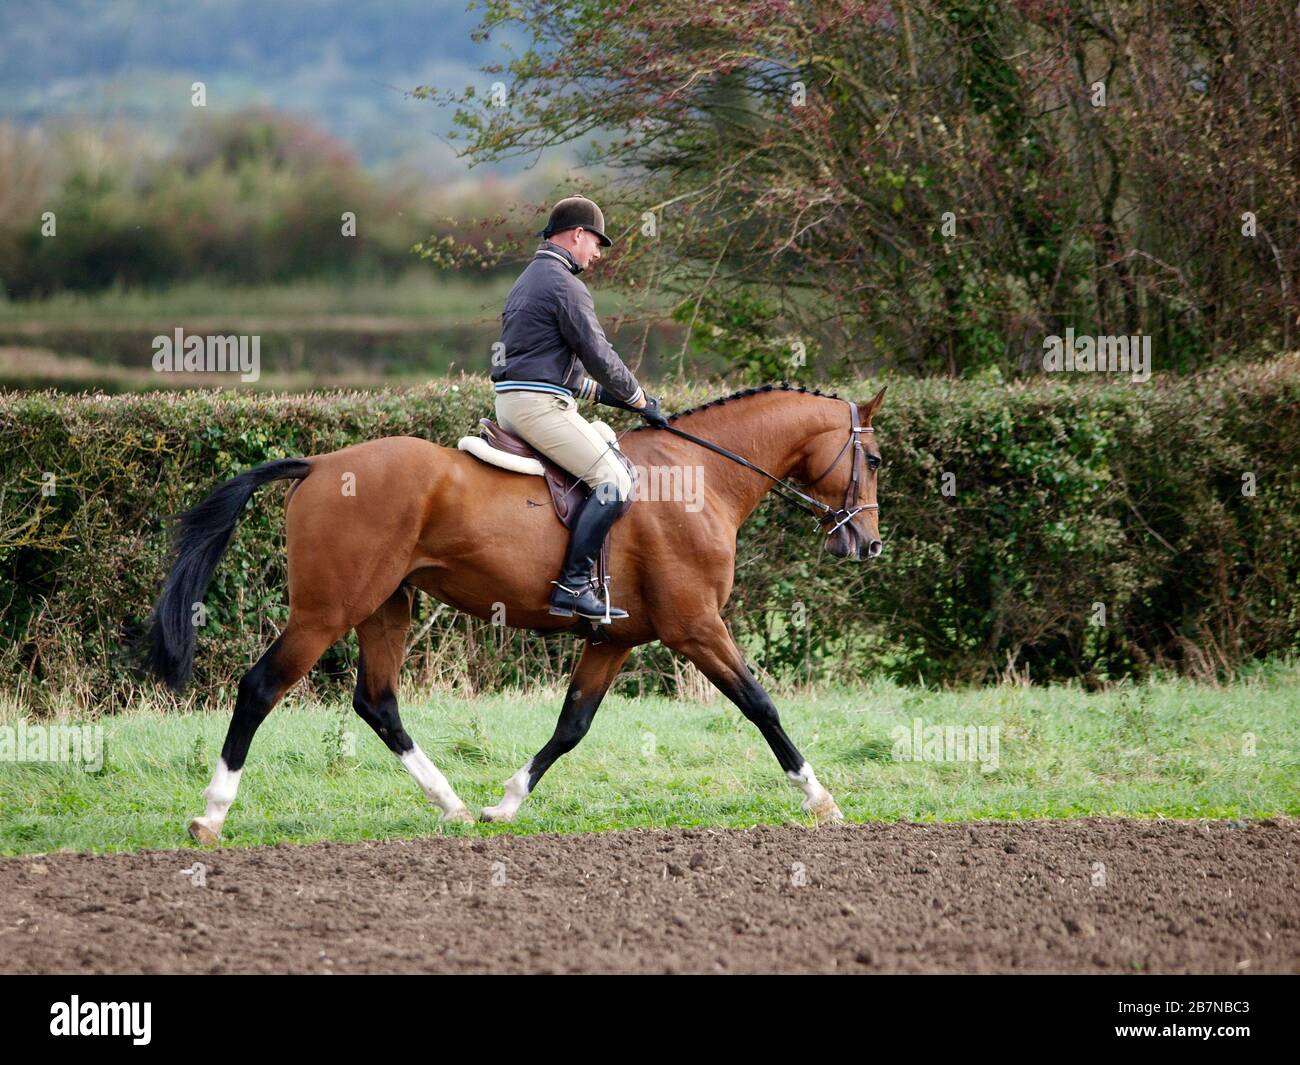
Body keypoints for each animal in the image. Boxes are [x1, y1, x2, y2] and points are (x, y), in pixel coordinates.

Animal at [145, 382, 886, 842]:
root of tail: (323, 464)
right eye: (874, 457)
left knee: (378, 702)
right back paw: (212, 815)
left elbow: (571, 726)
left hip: (387, 606)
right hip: (326, 611)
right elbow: (761, 704)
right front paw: (820, 798)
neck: (699, 476)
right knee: (261, 686)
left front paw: (504, 802)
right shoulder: (696, 627)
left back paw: (451, 805)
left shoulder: (613, 640)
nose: (869, 544)